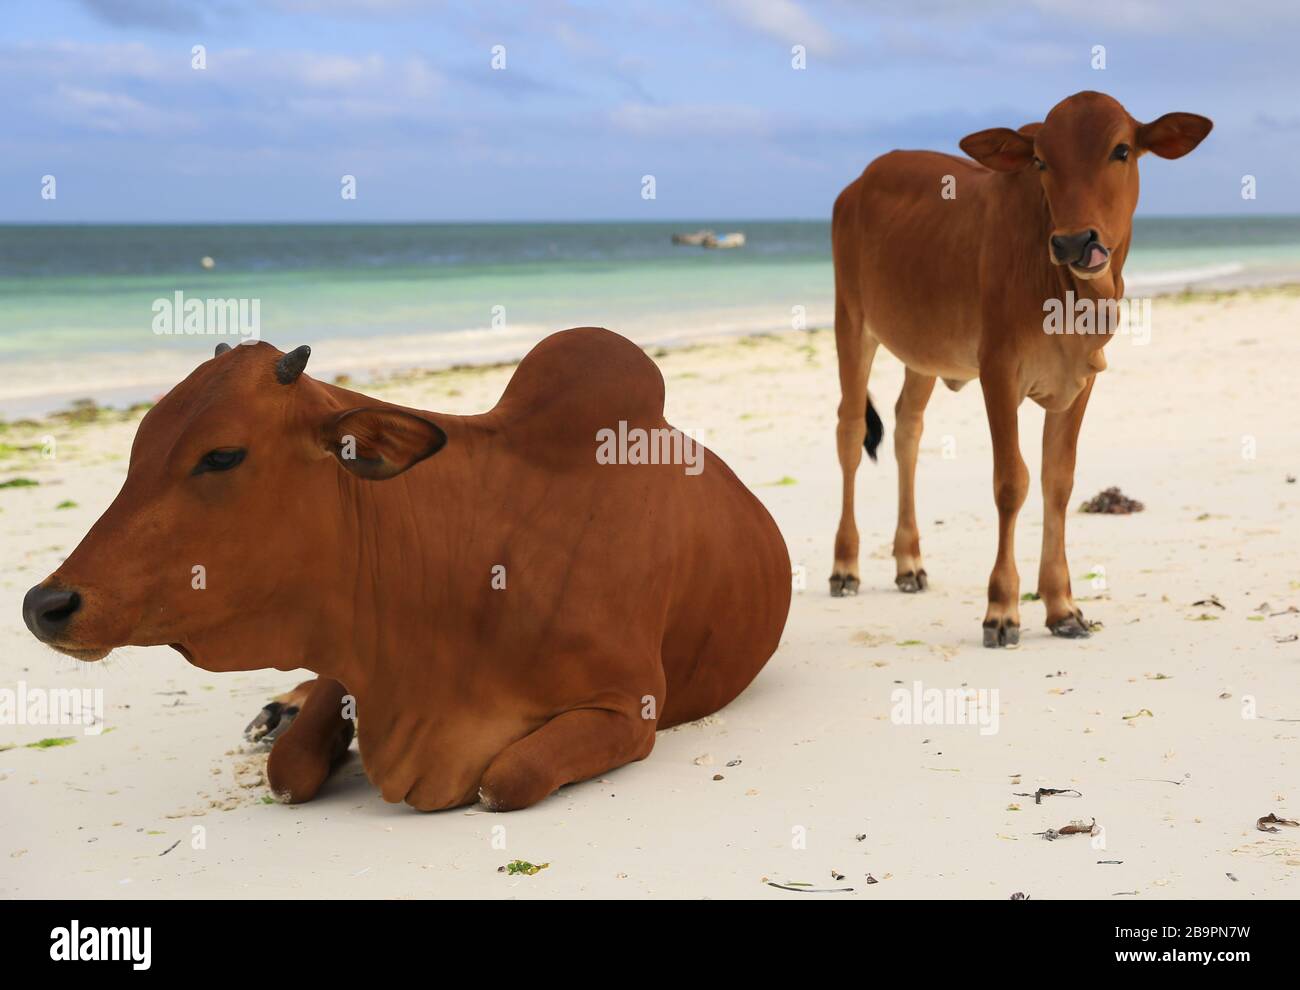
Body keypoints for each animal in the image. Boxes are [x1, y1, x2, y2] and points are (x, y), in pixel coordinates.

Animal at [21, 328, 791, 810]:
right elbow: (290, 767)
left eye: (222, 455)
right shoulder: (352, 655)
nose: (43, 604)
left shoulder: (630, 707)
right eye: (138, 447)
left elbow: (506, 778)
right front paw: (297, 726)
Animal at [828, 91, 1211, 647]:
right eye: (1041, 161)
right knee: (851, 430)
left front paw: (1062, 607)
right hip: (852, 322)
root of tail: (858, 182)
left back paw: (908, 561)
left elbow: (1058, 482)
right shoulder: (998, 370)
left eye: (1121, 150)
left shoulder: (1081, 381)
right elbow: (1011, 482)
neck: (1068, 293)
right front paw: (1002, 609)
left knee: (907, 429)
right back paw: (844, 566)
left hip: (923, 353)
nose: (1075, 242)